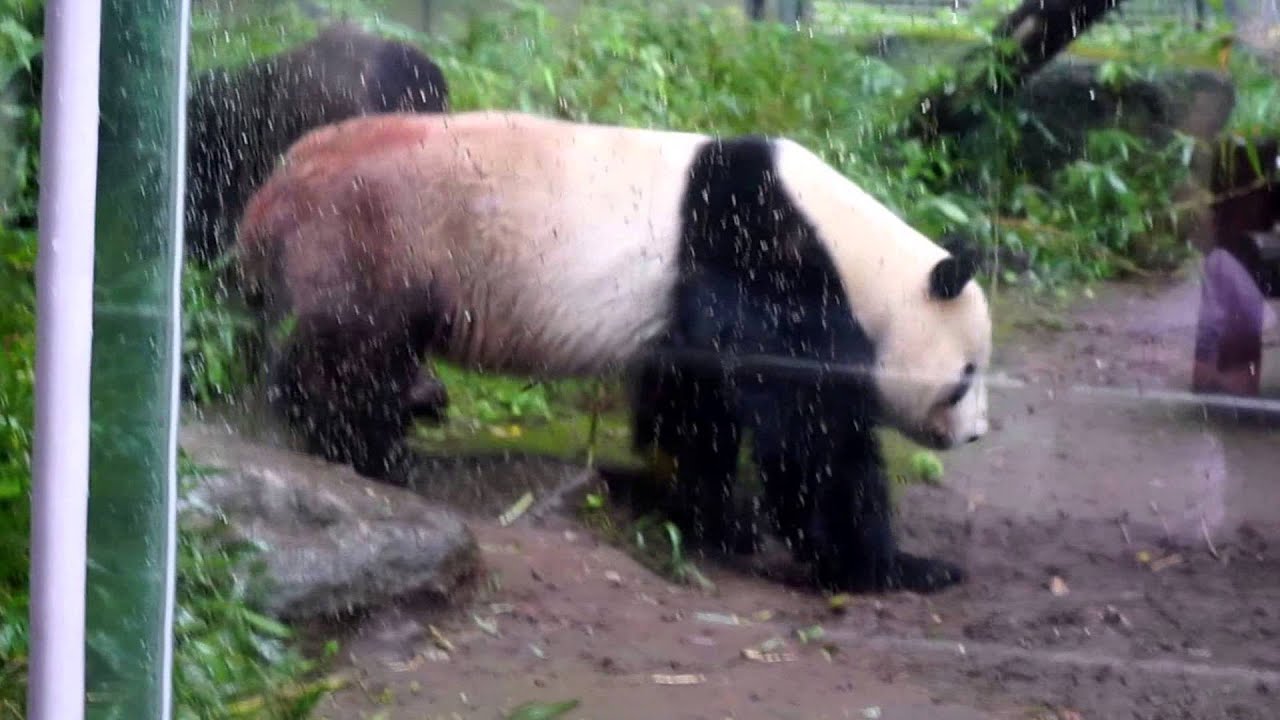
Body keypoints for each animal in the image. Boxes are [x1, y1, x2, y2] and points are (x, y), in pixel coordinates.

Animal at [232, 111, 993, 594]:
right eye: (964, 378)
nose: (977, 434)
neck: (859, 255)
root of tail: (271, 191)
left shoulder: (697, 305)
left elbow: (693, 404)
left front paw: (714, 519)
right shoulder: (759, 255)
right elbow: (809, 430)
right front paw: (896, 566)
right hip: (376, 237)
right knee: (353, 358)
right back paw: (369, 453)